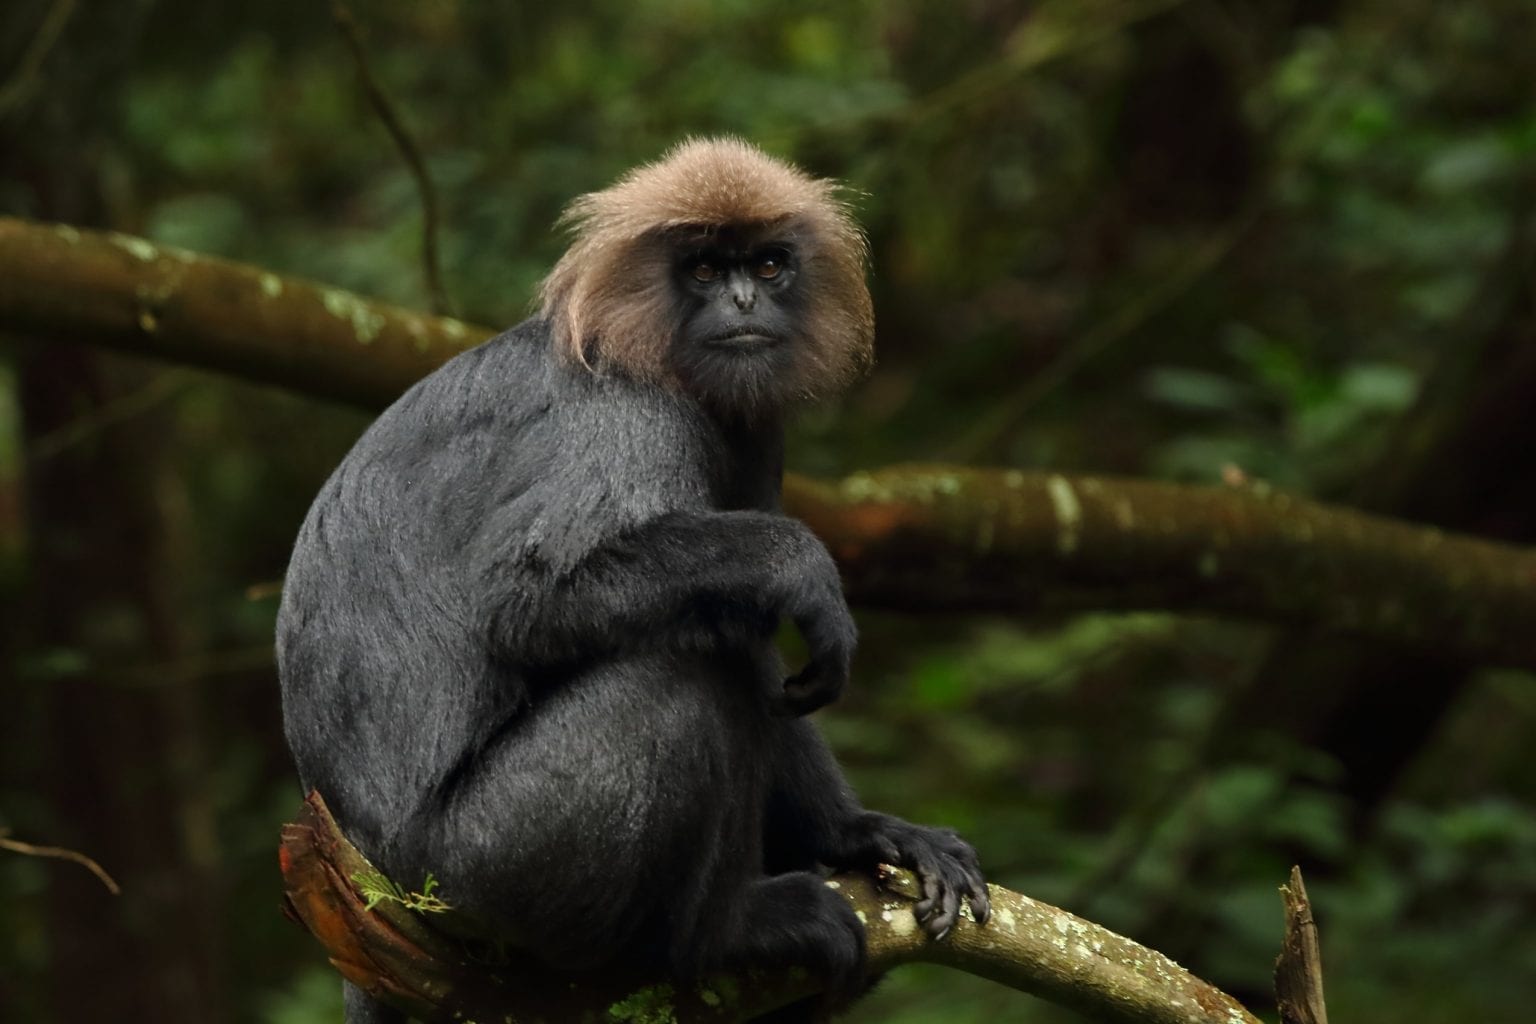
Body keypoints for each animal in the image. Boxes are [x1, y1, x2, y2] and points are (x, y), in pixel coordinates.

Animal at [276, 137, 989, 1023]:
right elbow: (529, 598)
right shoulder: (627, 407)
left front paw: (858, 834)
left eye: (768, 263)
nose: (746, 299)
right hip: (481, 868)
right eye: (706, 271)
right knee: (682, 671)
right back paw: (724, 934)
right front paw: (805, 572)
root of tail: (377, 885)